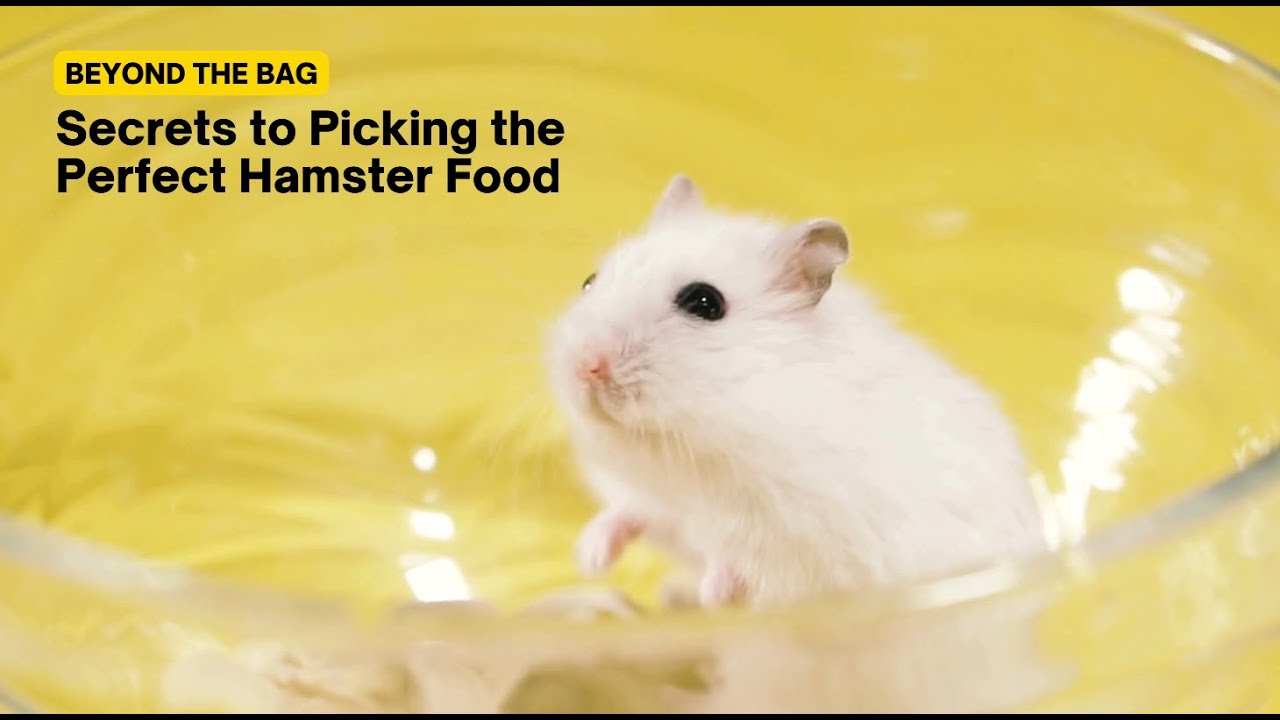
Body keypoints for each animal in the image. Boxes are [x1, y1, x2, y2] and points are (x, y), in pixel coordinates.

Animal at [546, 175, 1048, 609]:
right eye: (590, 281)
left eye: (704, 302)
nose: (585, 366)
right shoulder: (653, 499)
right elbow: (629, 512)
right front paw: (589, 558)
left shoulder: (794, 532)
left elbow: (739, 557)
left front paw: (714, 595)